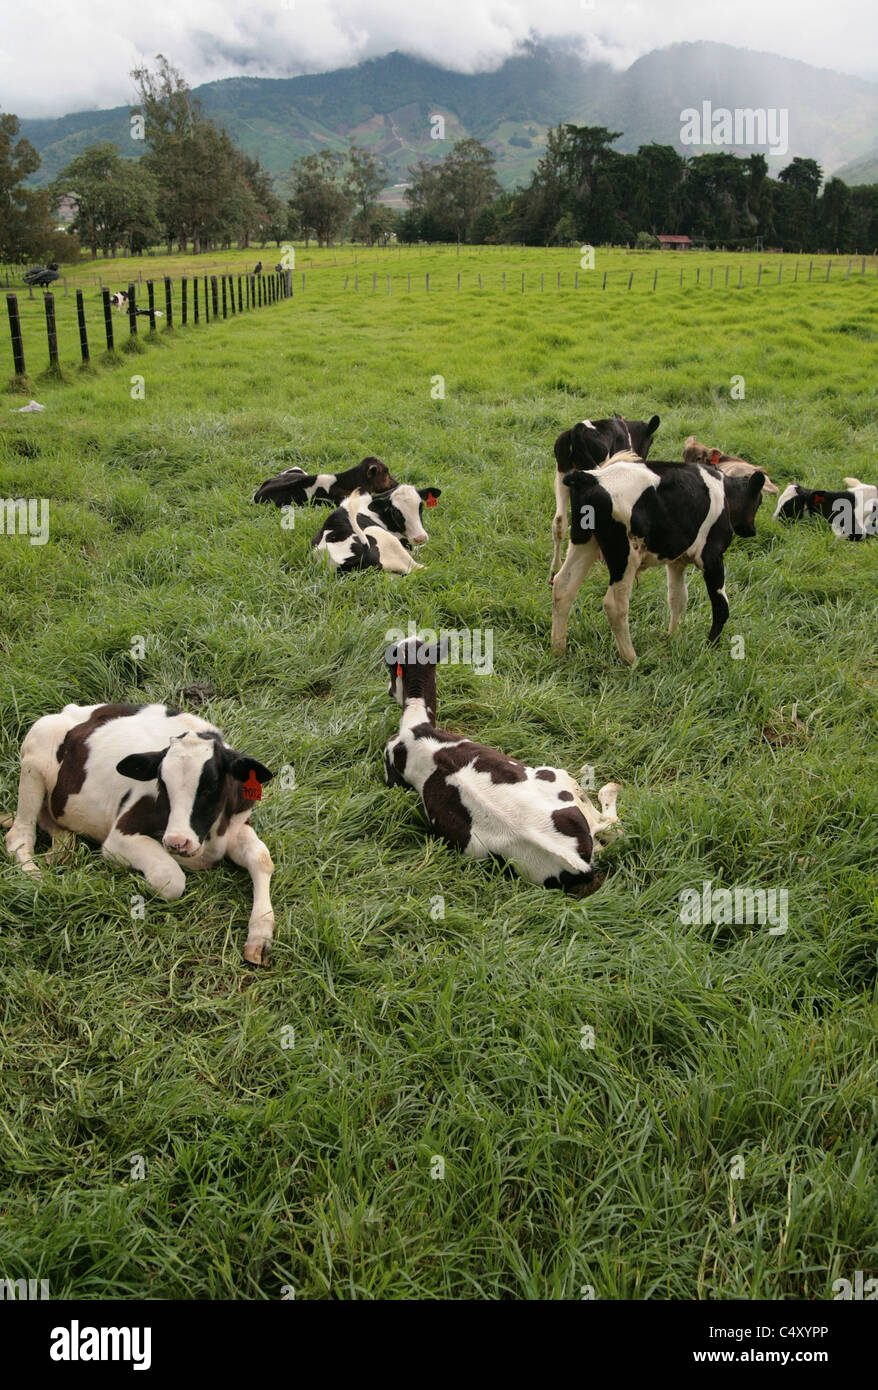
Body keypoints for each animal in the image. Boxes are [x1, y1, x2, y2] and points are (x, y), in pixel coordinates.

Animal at [3, 703, 276, 965]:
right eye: (162, 784)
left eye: (210, 786)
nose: (177, 842)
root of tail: (70, 710)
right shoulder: (119, 838)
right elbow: (170, 878)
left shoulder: (238, 822)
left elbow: (261, 858)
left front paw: (260, 936)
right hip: (34, 762)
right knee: (18, 835)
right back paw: (36, 878)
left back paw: (60, 849)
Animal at [383, 637, 621, 893]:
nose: (388, 691)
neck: (416, 727)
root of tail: (577, 862)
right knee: (611, 828)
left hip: (557, 774)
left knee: (609, 823)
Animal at [551, 453, 766, 666]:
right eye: (759, 501)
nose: (752, 530)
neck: (724, 494)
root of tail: (591, 477)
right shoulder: (712, 557)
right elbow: (721, 605)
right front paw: (710, 646)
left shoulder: (677, 561)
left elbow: (678, 598)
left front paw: (673, 639)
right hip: (625, 555)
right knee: (615, 605)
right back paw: (631, 659)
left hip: (584, 542)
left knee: (563, 586)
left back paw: (559, 651)